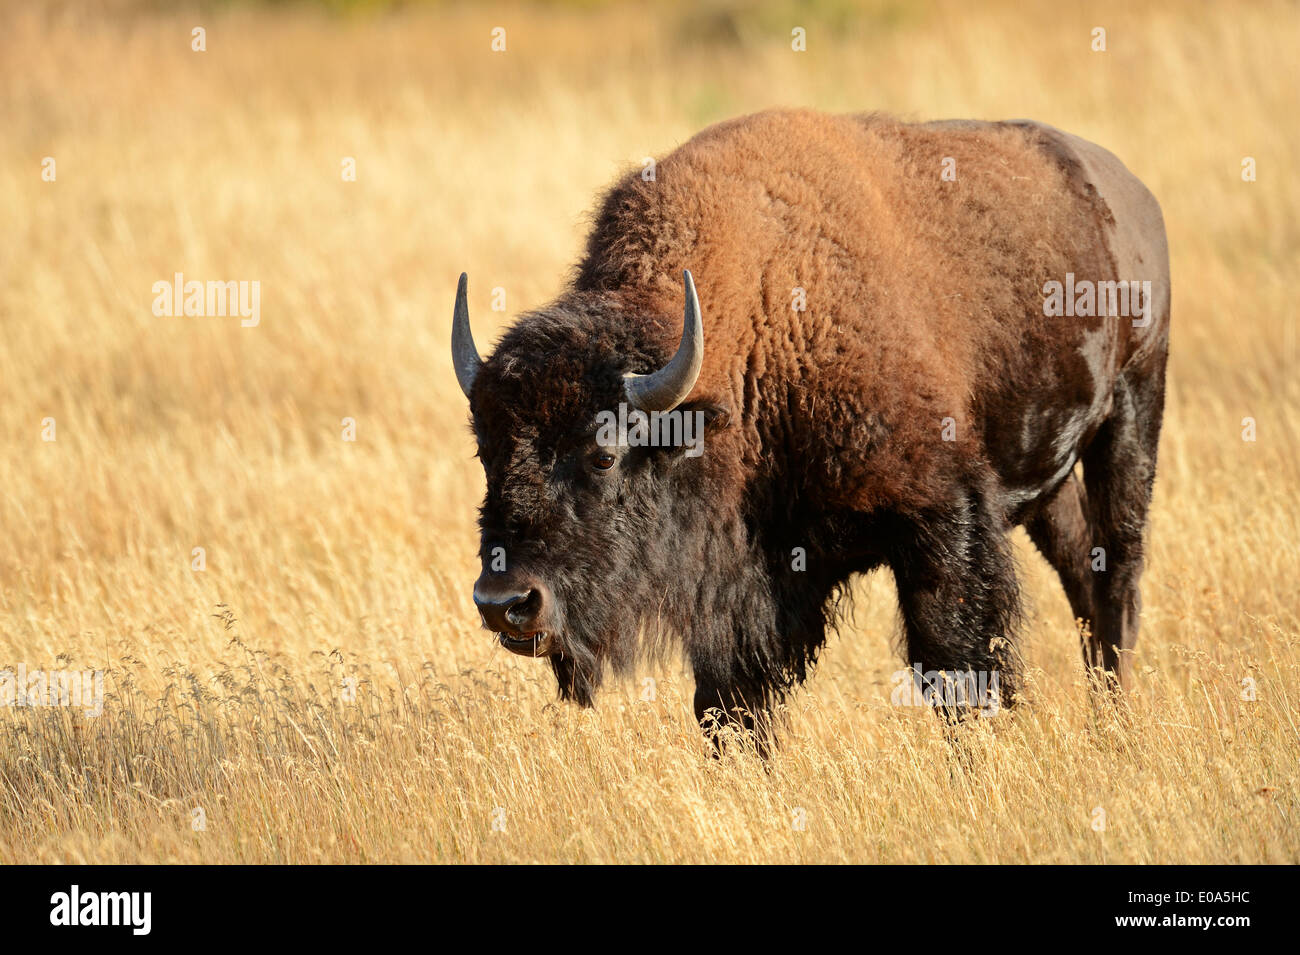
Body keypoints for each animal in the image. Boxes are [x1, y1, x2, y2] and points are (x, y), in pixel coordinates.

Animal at [451, 109, 1170, 749]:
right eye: (486, 452)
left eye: (603, 454)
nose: (504, 600)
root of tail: (1127, 190)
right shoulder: (749, 585)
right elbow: (731, 703)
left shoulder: (944, 514)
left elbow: (958, 662)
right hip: (1050, 476)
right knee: (1082, 571)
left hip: (1133, 409)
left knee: (1118, 579)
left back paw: (1117, 727)